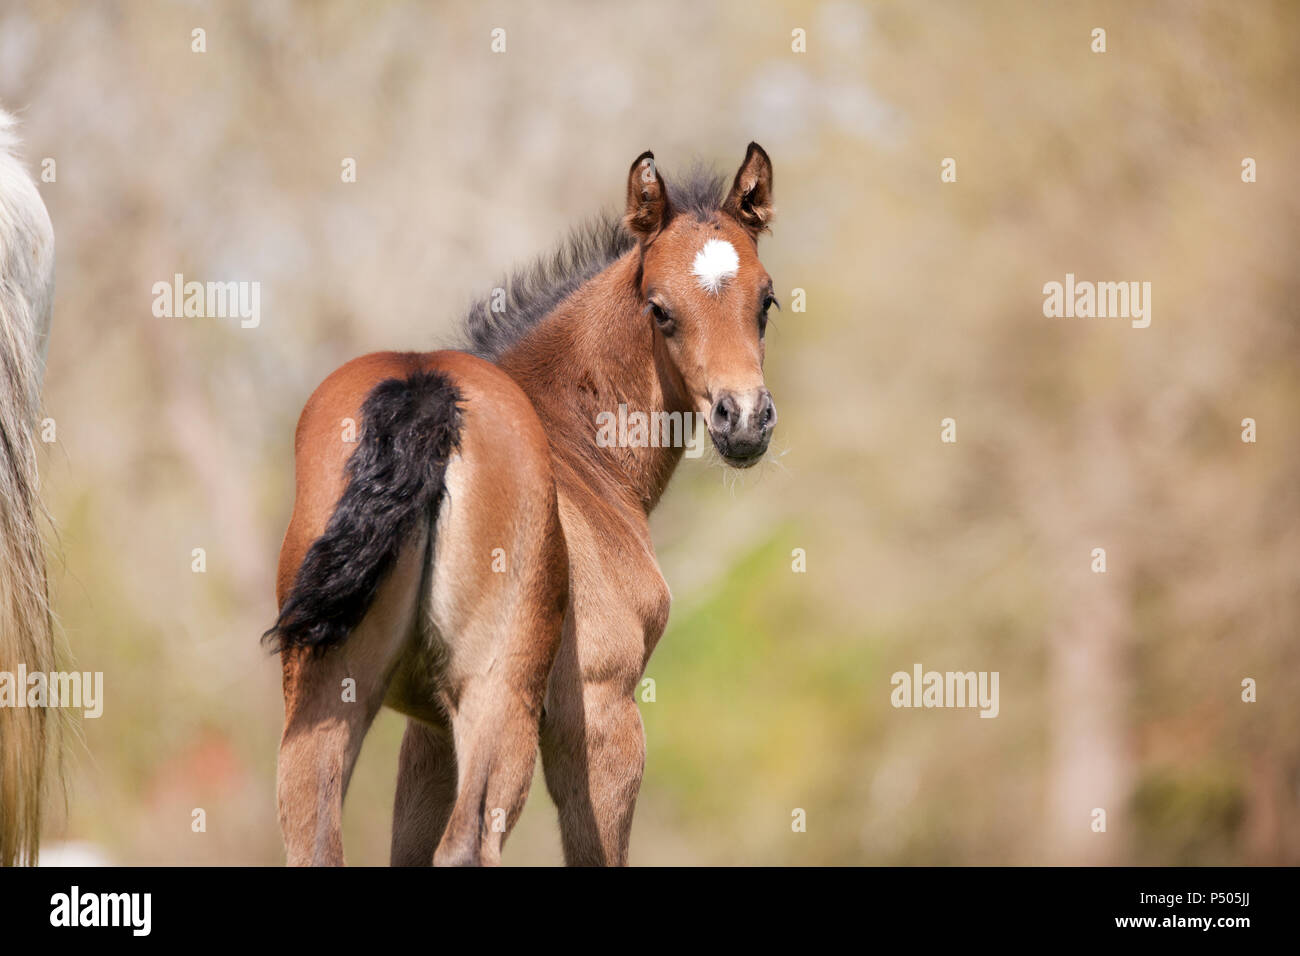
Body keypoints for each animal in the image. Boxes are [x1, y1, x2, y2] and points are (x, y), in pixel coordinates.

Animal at [266, 143, 779, 866]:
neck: (579, 451)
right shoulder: (601, 712)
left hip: (324, 693)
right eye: (660, 308)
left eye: (767, 301)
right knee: (468, 846)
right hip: (499, 695)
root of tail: (426, 391)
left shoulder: (428, 730)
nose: (745, 421)